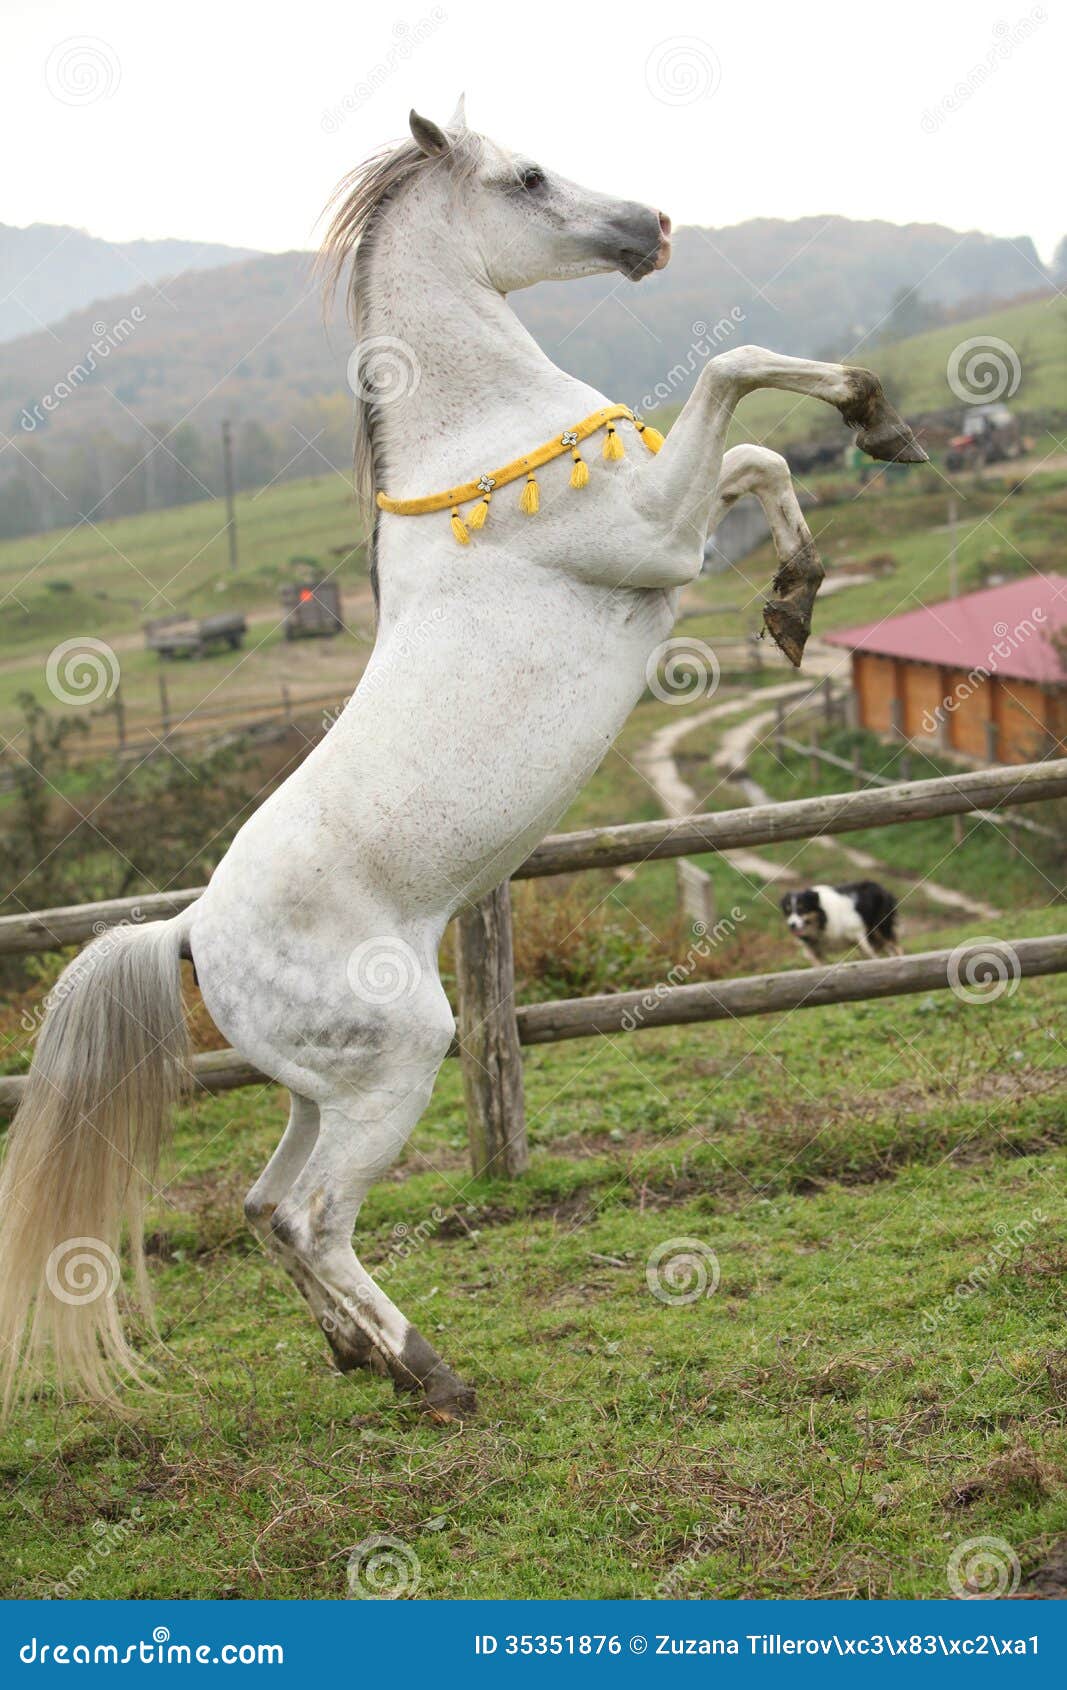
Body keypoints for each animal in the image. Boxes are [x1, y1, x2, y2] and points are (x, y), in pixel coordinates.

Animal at [0, 99, 925, 1421]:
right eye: (527, 176)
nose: (653, 226)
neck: (479, 440)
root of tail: (186, 930)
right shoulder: (656, 536)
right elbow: (735, 377)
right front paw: (868, 413)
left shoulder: (676, 525)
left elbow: (763, 465)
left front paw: (796, 597)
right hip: (393, 1065)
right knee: (315, 1216)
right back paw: (430, 1373)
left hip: (318, 1087)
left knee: (264, 1206)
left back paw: (358, 1354)